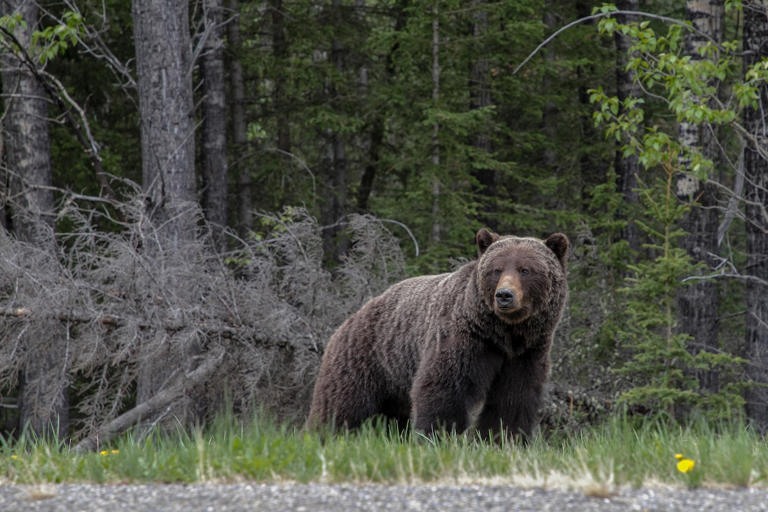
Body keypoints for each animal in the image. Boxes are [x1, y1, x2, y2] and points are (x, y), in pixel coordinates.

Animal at [307, 228, 569, 440]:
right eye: (496, 270)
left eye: (525, 270)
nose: (504, 295)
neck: (504, 334)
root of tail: (350, 319)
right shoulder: (465, 338)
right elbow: (444, 387)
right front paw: (438, 435)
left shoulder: (526, 353)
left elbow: (513, 397)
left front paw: (503, 438)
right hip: (365, 358)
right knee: (341, 405)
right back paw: (323, 435)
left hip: (393, 380)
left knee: (391, 416)